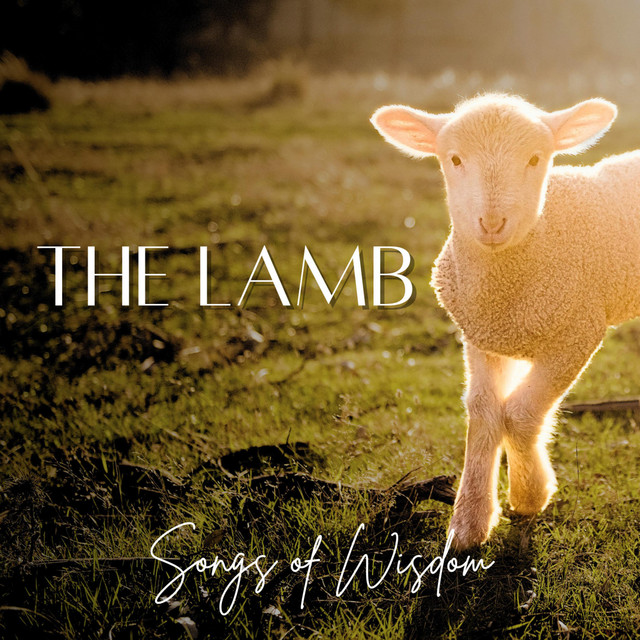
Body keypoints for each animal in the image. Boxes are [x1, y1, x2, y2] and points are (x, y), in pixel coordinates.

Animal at [370, 93, 640, 550]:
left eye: (535, 158)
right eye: (454, 158)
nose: (493, 223)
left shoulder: (578, 332)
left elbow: (520, 413)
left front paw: (529, 494)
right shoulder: (483, 335)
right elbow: (482, 411)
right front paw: (469, 521)